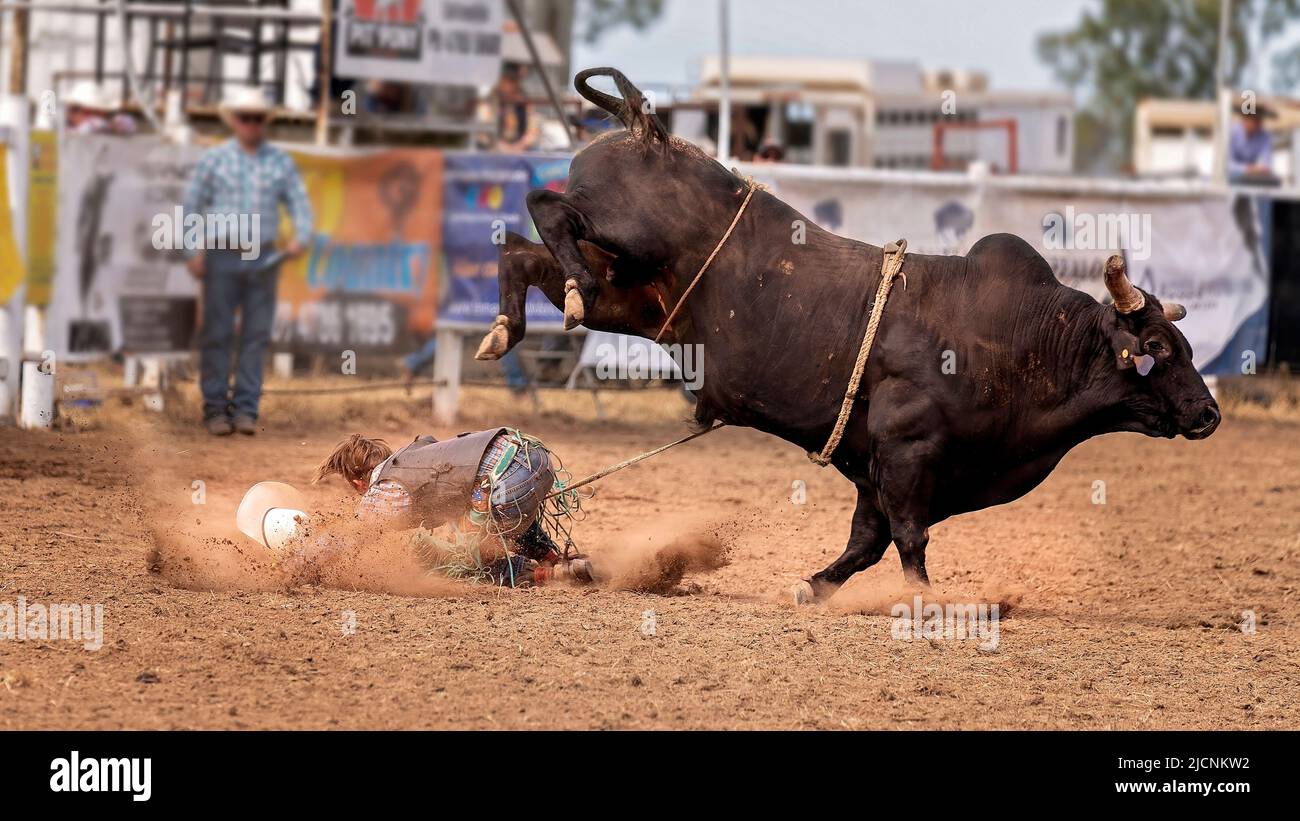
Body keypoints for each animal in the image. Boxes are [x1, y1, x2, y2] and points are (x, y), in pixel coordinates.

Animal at [476, 68, 1221, 603]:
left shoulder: (872, 463)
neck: (1019, 340)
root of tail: (647, 128)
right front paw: (919, 600)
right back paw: (550, 288)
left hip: (631, 291)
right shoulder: (907, 448)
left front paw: (812, 586)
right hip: (627, 238)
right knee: (546, 208)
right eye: (1157, 350)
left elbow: (869, 540)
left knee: (524, 254)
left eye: (1186, 349)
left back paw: (509, 326)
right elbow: (909, 537)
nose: (1208, 413)